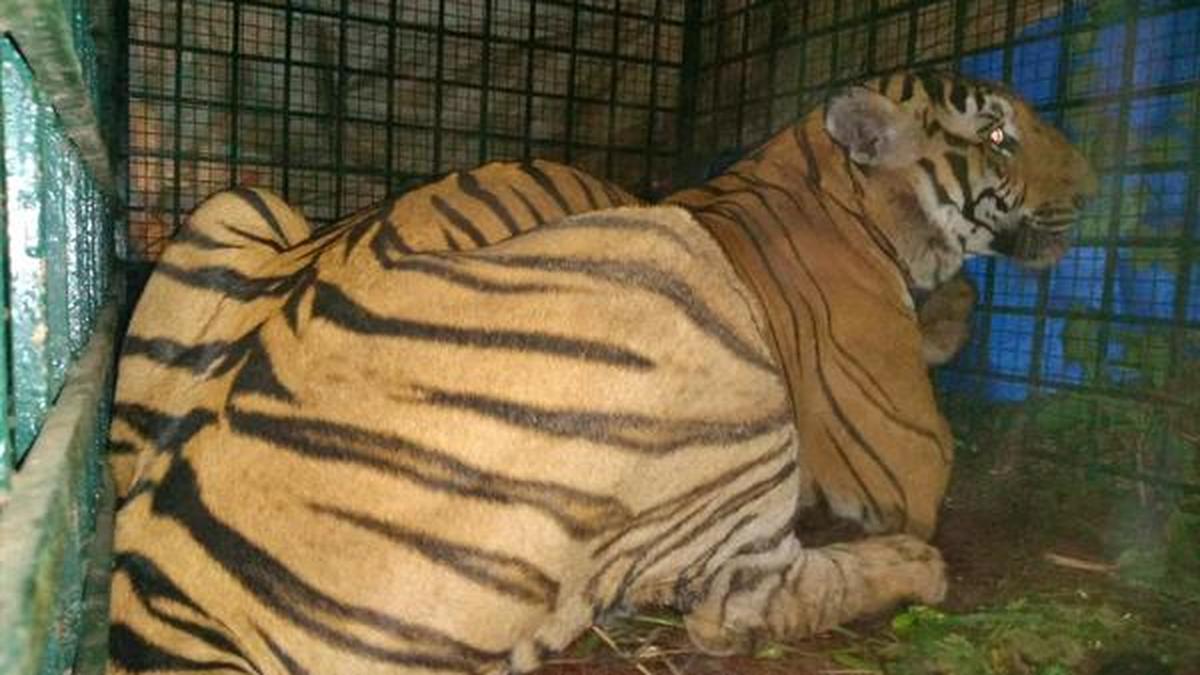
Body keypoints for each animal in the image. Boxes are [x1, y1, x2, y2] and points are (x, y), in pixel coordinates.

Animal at [106, 70, 1095, 675]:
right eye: (998, 132)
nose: (1093, 184)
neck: (818, 174)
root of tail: (167, 599)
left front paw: (953, 308)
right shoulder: (910, 457)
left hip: (238, 203)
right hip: (674, 273)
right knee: (741, 603)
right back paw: (914, 568)